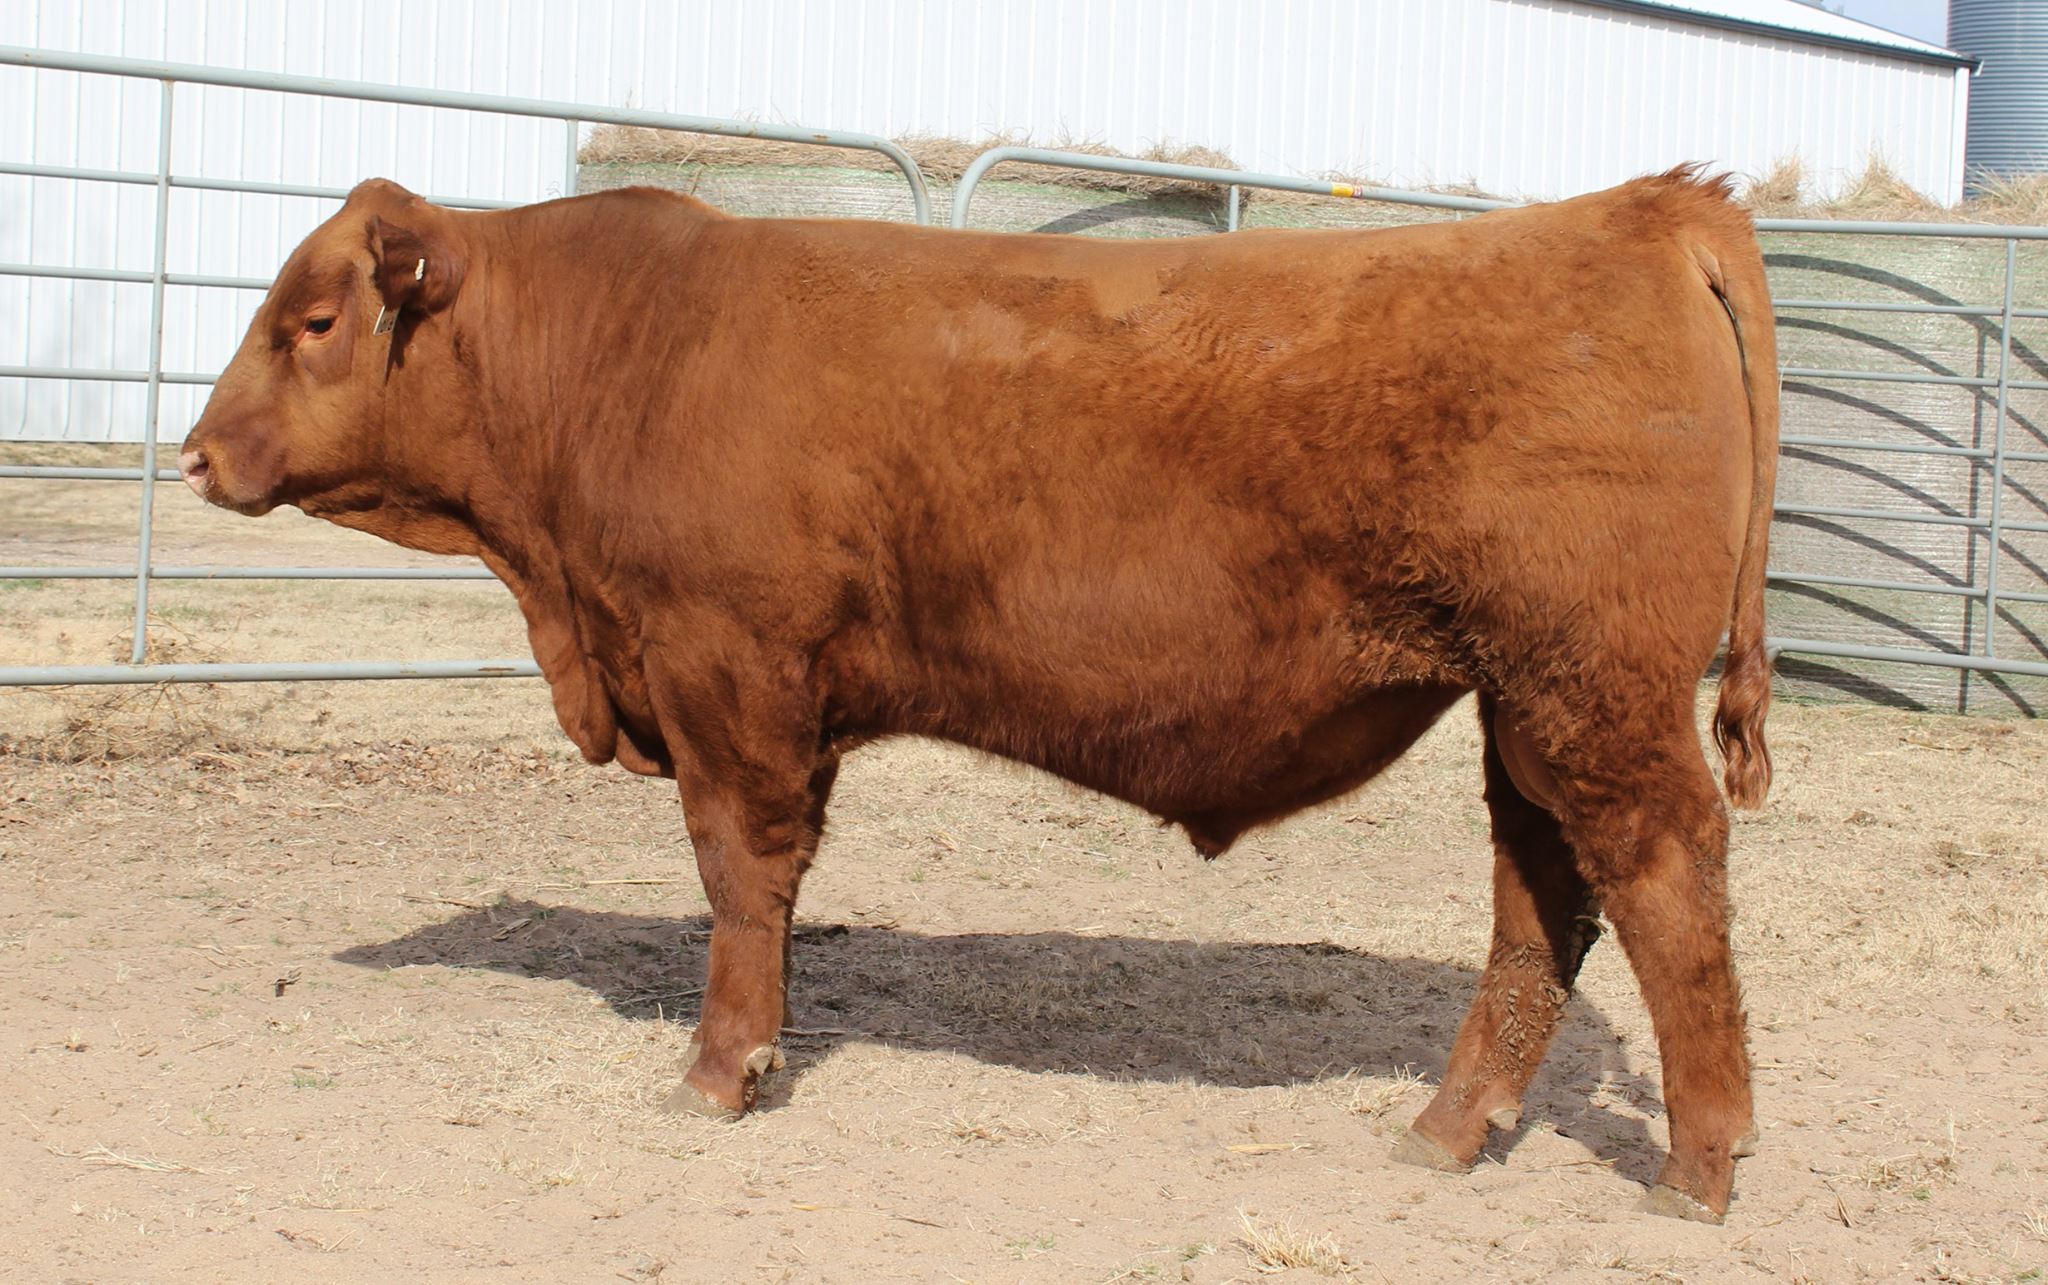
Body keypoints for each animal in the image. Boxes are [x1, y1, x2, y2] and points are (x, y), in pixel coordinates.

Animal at [179, 167, 1778, 1222]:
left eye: (313, 321)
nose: (195, 455)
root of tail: (1640, 209)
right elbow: (777, 876)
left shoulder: (723, 670)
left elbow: (737, 873)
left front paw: (721, 1070)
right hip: (1531, 713)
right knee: (1542, 906)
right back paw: (1449, 1130)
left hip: (1596, 701)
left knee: (1666, 887)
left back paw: (1696, 1171)